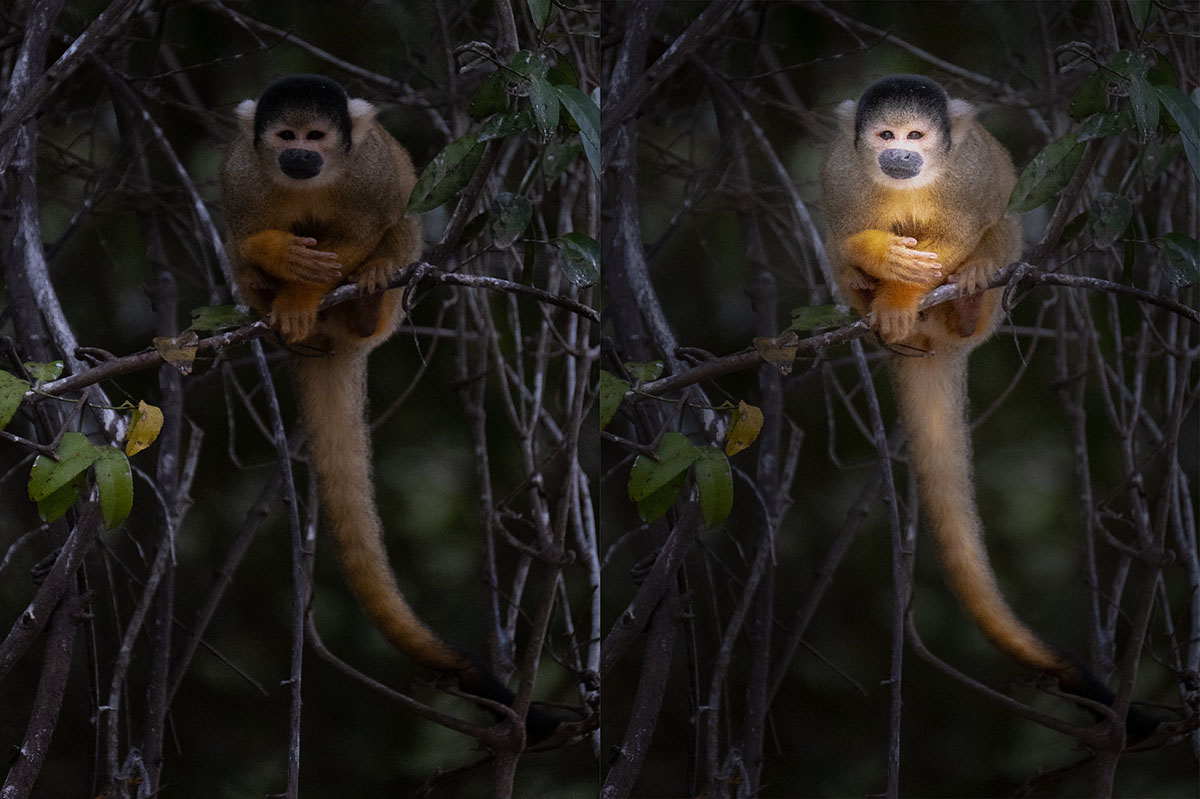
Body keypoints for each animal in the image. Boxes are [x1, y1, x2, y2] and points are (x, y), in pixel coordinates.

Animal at [220, 74, 559, 742]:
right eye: (285, 136)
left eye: (316, 136)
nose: (299, 156)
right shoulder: (242, 173)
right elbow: (242, 236)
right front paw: (281, 261)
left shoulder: (369, 172)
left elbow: (372, 222)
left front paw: (306, 291)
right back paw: (283, 311)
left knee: (401, 225)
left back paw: (364, 301)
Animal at [821, 74, 1158, 741]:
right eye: (885, 135)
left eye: (916, 135)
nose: (899, 155)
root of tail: (939, 347)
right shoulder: (839, 171)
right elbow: (839, 233)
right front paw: (879, 263)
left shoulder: (968, 171)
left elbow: (962, 230)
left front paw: (903, 294)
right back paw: (875, 299)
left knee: (998, 229)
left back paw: (965, 302)